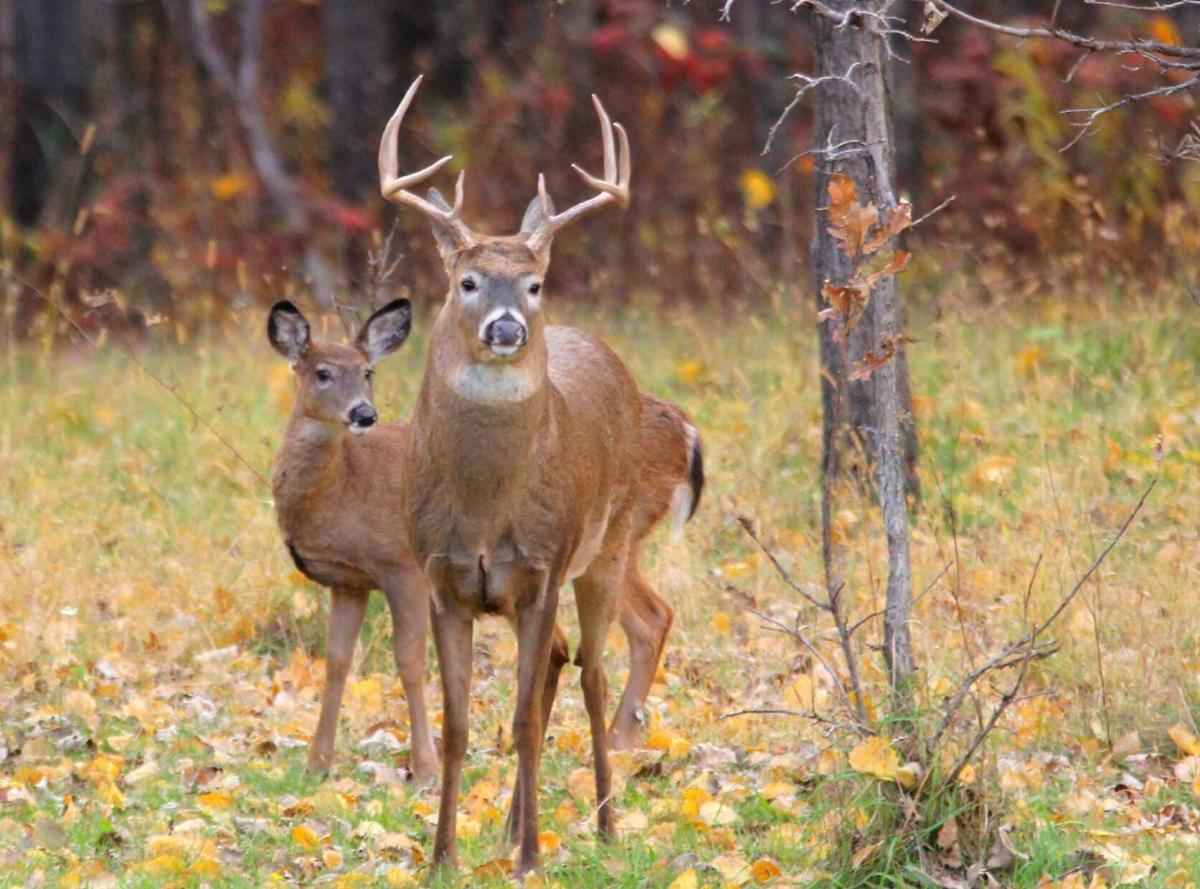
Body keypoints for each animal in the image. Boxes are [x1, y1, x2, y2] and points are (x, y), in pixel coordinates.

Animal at [266, 294, 703, 796]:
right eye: (322, 372)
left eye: (367, 372)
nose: (363, 414)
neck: (343, 489)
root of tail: (687, 431)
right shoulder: (350, 581)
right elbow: (337, 661)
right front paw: (317, 764)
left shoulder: (401, 566)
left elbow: (409, 661)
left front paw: (425, 768)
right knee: (633, 623)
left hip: (611, 536)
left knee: (644, 619)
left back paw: (613, 743)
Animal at [378, 75, 671, 875]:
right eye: (467, 281)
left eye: (536, 283)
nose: (506, 326)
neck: (485, 506)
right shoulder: (444, 576)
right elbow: (458, 724)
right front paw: (442, 856)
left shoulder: (540, 568)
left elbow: (524, 721)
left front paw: (533, 859)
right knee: (563, 662)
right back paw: (513, 824)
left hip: (607, 544)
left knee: (594, 672)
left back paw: (604, 824)